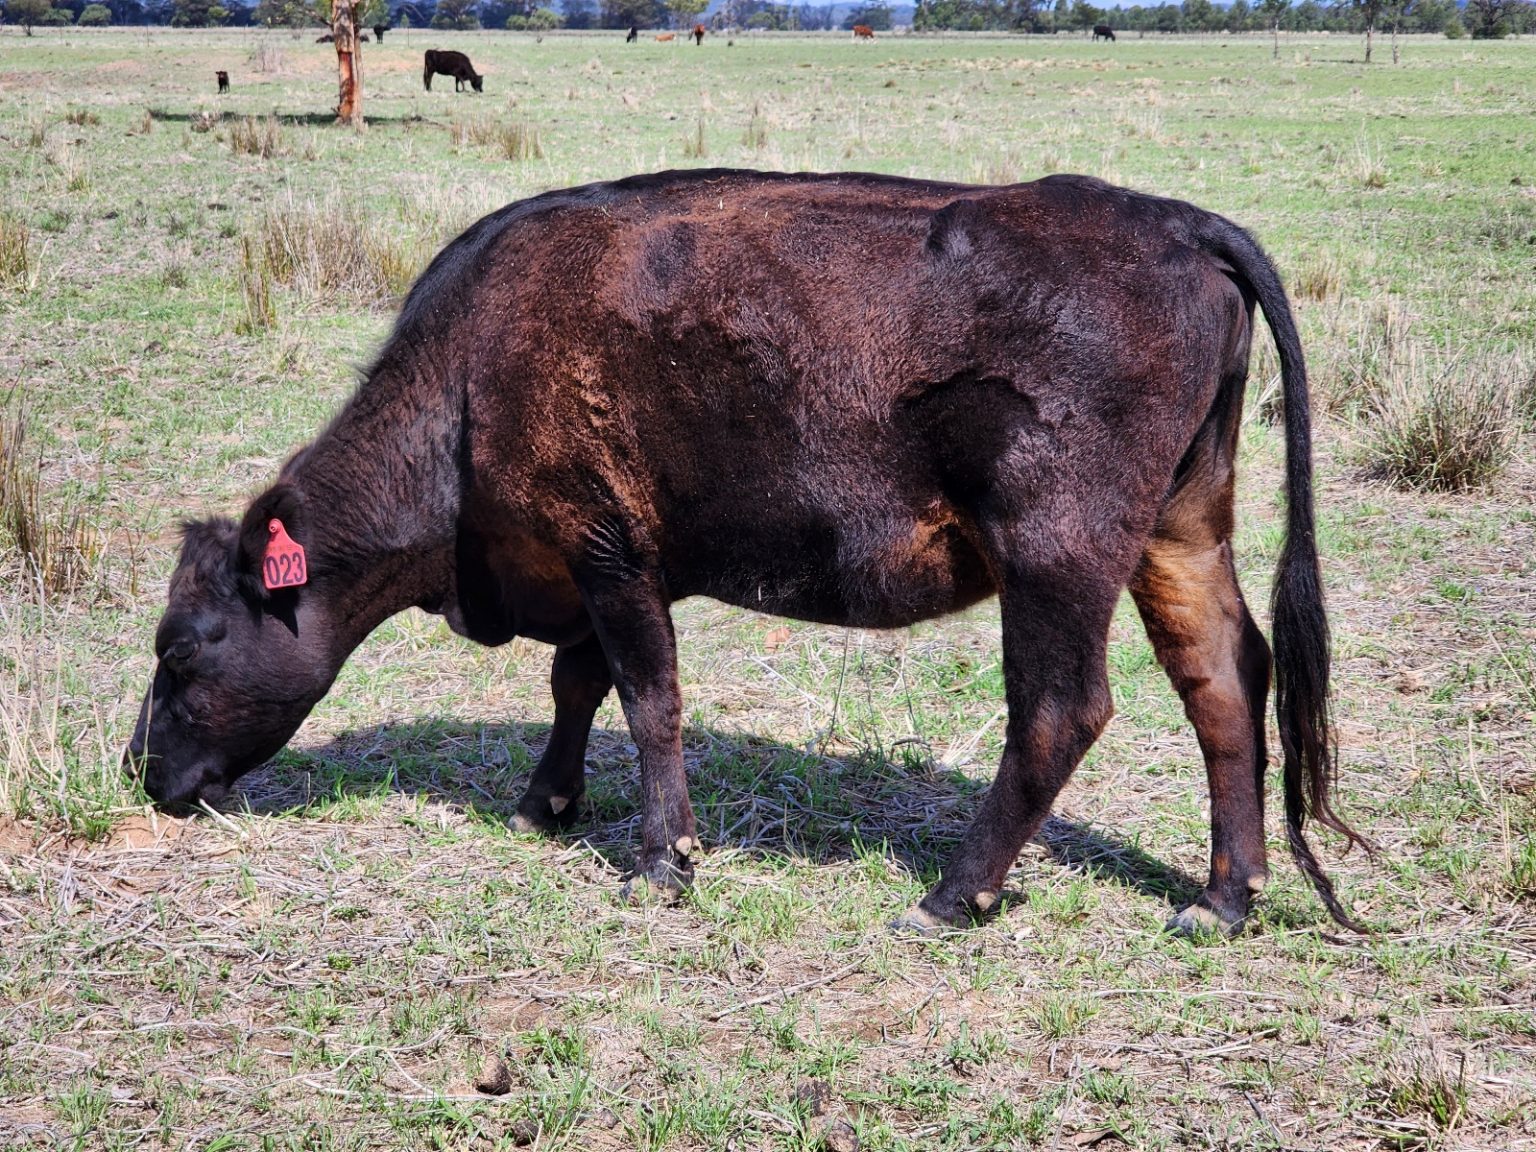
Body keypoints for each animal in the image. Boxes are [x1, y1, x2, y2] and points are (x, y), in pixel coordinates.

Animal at [125, 169, 1368, 940]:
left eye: (184, 650)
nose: (142, 773)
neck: (470, 380)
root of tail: (1176, 224)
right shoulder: (605, 567)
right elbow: (578, 683)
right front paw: (545, 803)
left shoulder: (610, 554)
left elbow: (646, 697)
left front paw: (662, 858)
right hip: (1181, 530)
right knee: (1223, 680)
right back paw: (1222, 899)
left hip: (1055, 556)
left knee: (1063, 709)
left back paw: (950, 895)